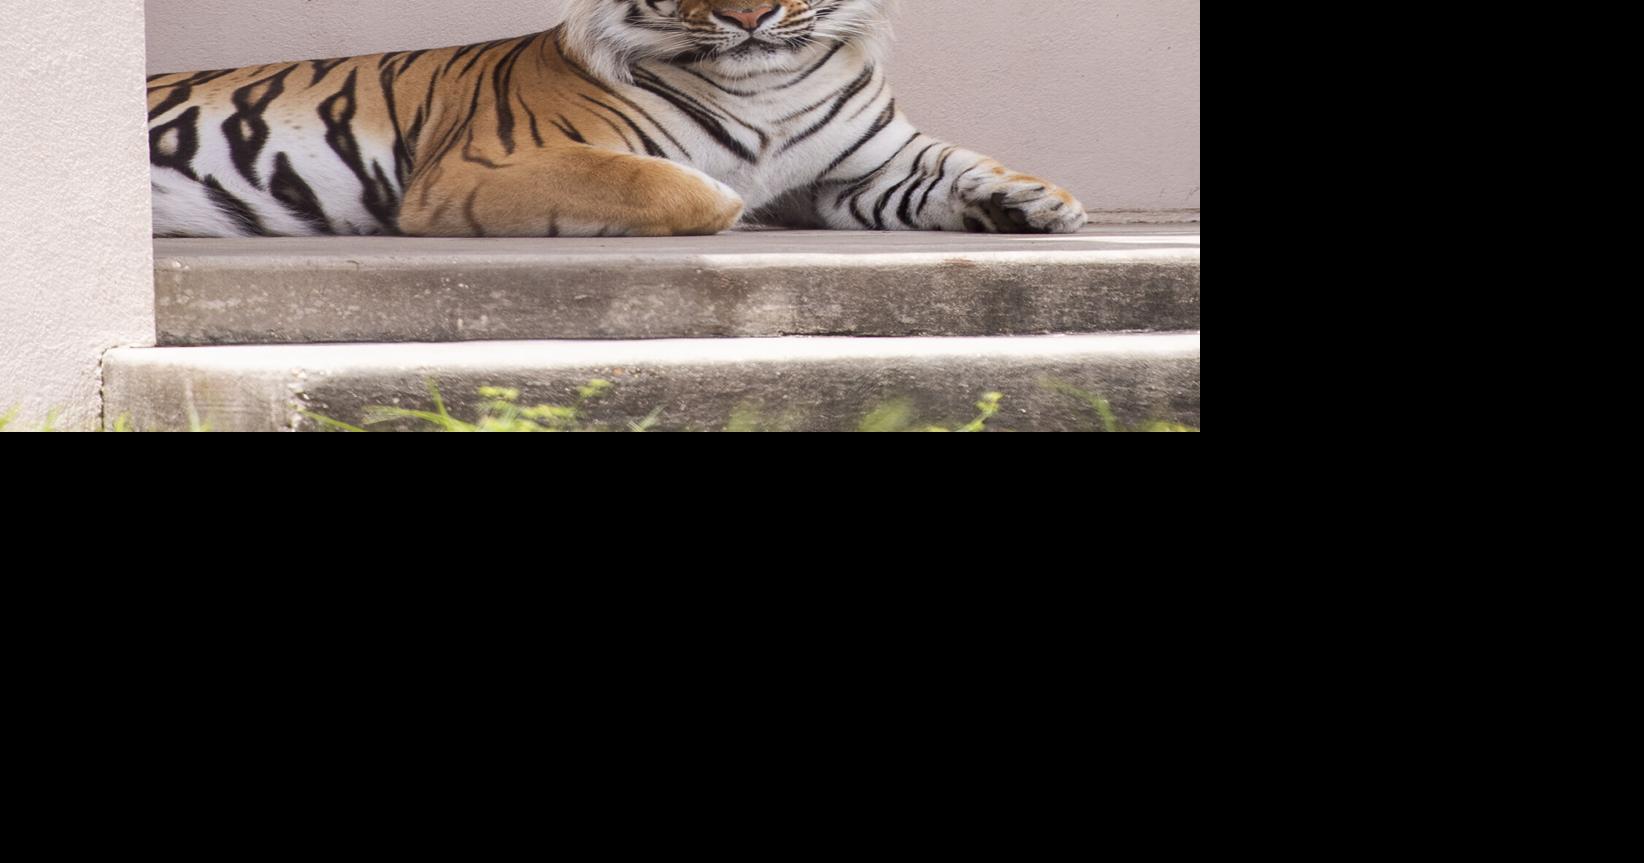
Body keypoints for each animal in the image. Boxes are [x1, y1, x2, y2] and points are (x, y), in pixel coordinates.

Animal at [146, 0, 1089, 238]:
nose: (750, 18)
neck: (768, 80)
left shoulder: (864, 172)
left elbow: (959, 166)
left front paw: (1041, 202)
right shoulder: (484, 166)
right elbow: (681, 186)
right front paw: (733, 205)